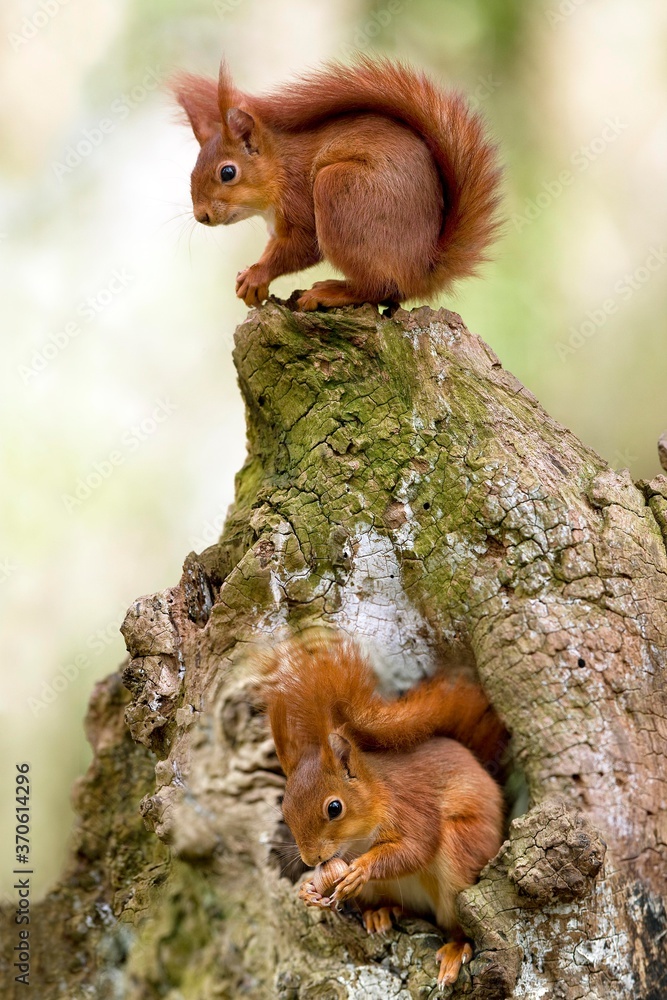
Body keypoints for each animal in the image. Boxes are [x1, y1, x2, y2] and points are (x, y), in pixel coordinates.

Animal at [173, 58, 501, 311]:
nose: (202, 216)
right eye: (191, 171)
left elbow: (302, 247)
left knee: (380, 287)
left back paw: (331, 292)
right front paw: (251, 277)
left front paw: (257, 275)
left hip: (338, 189)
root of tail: (423, 270)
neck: (280, 168)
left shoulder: (299, 199)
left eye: (228, 172)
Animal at [259, 631, 506, 989]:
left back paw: (456, 948)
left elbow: (416, 847)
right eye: (285, 808)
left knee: (456, 919)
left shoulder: (410, 805)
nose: (311, 859)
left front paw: (361, 869)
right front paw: (308, 890)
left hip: (462, 854)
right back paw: (382, 912)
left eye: (335, 807)